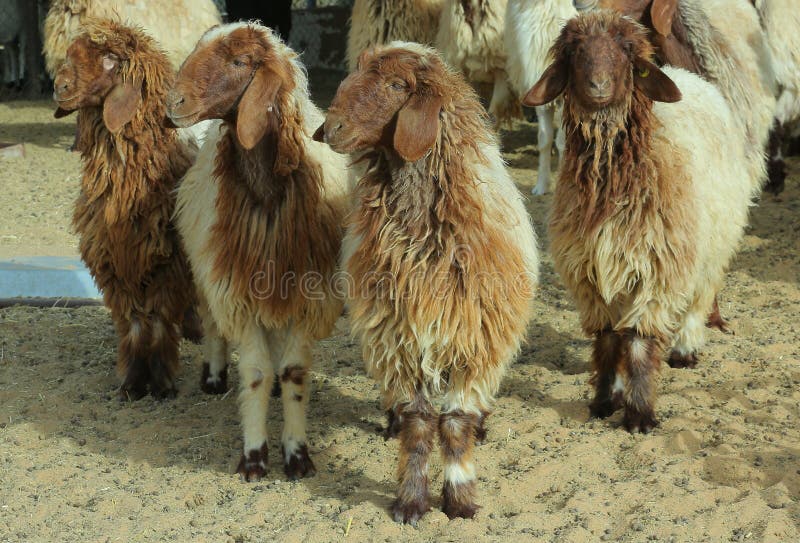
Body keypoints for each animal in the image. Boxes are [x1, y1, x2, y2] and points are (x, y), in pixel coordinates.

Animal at [51, 19, 201, 399]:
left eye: (109, 60)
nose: (59, 87)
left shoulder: (167, 263)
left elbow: (159, 322)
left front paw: (162, 385)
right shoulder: (114, 263)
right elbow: (134, 325)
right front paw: (133, 383)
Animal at [166, 23, 350, 481]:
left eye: (238, 61)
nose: (171, 104)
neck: (269, 193)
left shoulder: (306, 293)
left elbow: (292, 372)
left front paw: (297, 454)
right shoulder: (235, 288)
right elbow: (255, 373)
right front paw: (254, 455)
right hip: (207, 268)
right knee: (212, 323)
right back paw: (214, 375)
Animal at [316, 42, 539, 522]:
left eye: (397, 85)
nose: (328, 128)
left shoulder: (474, 343)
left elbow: (454, 424)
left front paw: (459, 499)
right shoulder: (398, 342)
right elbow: (419, 426)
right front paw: (411, 501)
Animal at [524, 11, 756, 432]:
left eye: (626, 50)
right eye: (575, 51)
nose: (598, 86)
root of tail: (688, 77)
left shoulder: (655, 267)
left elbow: (636, 342)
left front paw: (639, 414)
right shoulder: (590, 271)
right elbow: (608, 339)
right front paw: (605, 400)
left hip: (715, 239)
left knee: (700, 295)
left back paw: (685, 347)